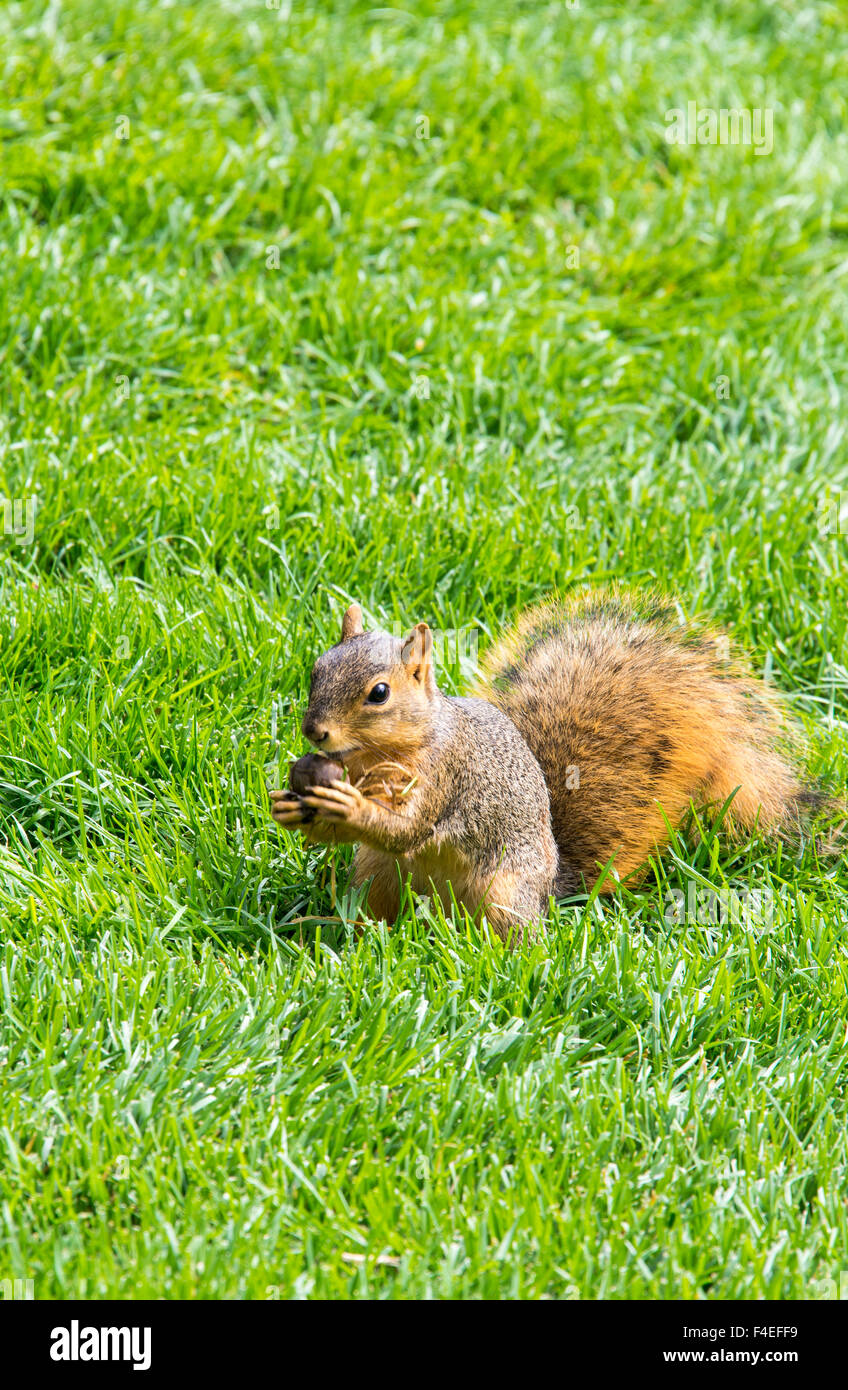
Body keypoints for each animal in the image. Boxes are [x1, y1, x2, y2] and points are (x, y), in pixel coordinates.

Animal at [269, 588, 831, 943]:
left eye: (380, 693)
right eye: (317, 669)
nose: (314, 731)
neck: (380, 752)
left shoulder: (448, 774)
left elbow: (408, 826)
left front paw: (348, 805)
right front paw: (291, 806)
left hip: (503, 891)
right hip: (378, 876)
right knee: (376, 917)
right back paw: (332, 927)